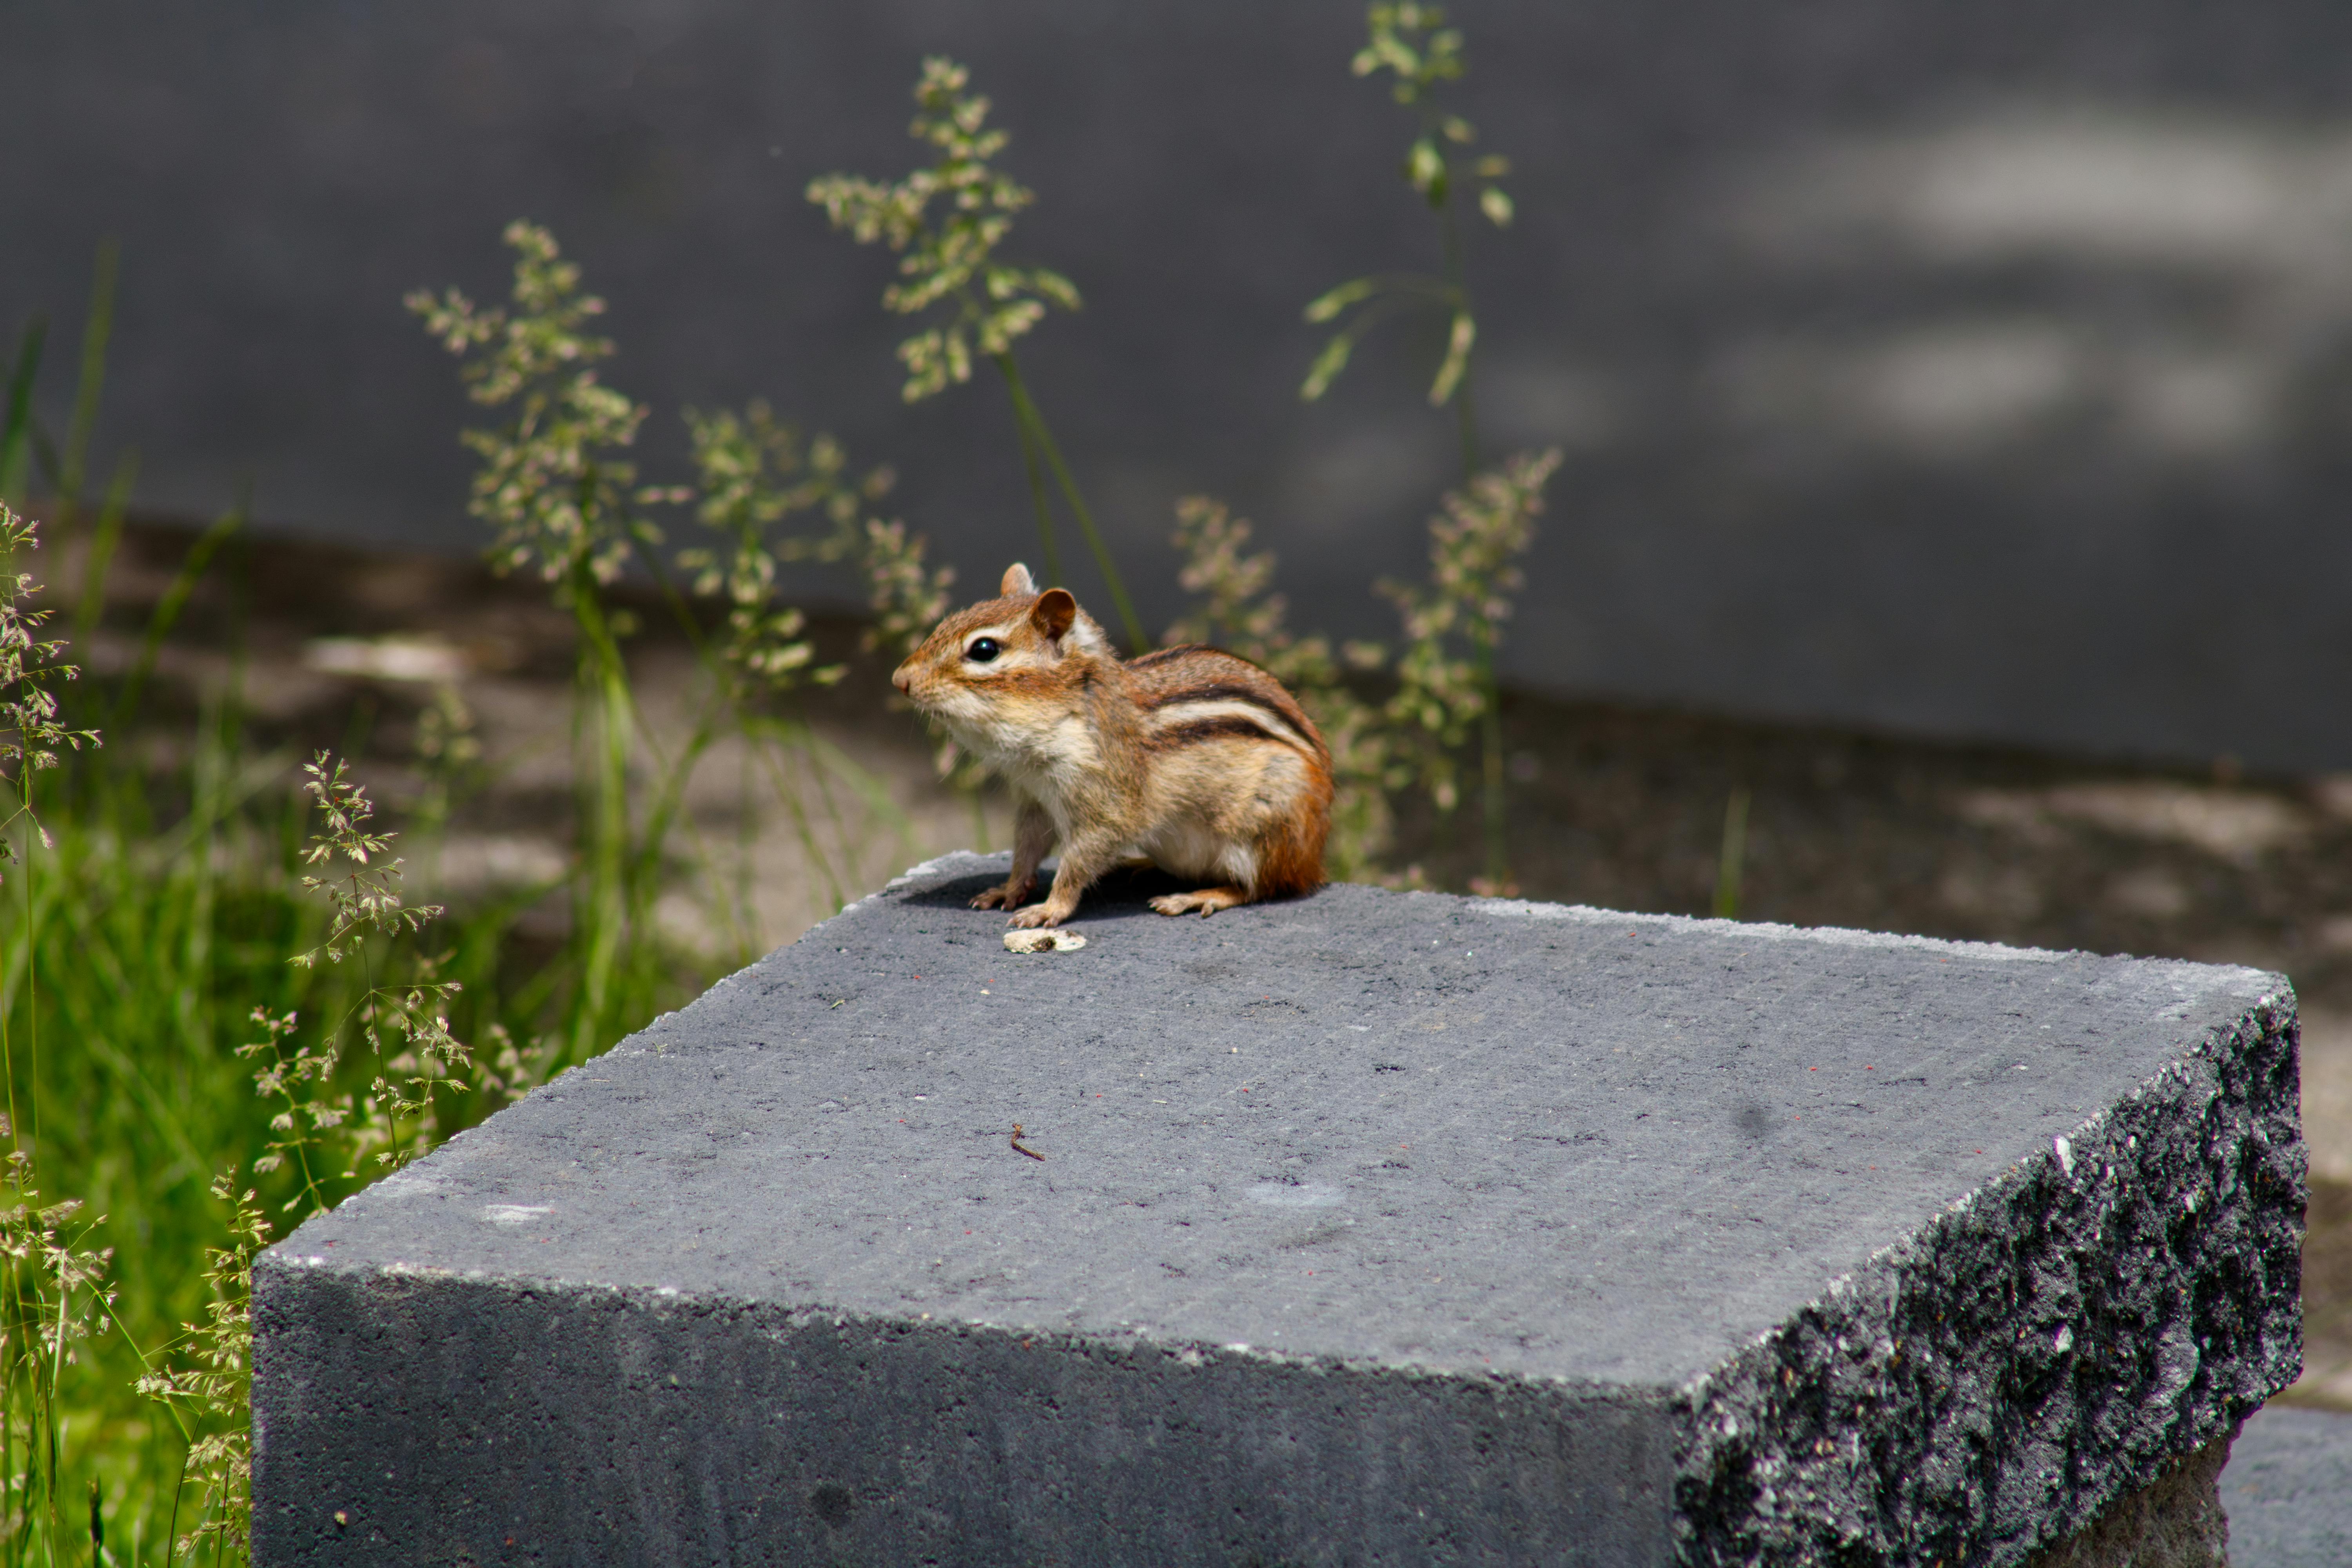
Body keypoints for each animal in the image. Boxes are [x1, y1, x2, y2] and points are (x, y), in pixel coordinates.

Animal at [891, 563, 1332, 928]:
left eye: (984, 650)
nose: (900, 680)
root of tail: (1314, 863)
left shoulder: (1108, 803)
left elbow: (1078, 860)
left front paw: (1049, 908)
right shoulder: (1036, 801)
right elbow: (1027, 849)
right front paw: (1009, 889)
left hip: (1263, 831)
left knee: (1259, 888)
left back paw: (1196, 897)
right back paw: (1139, 865)